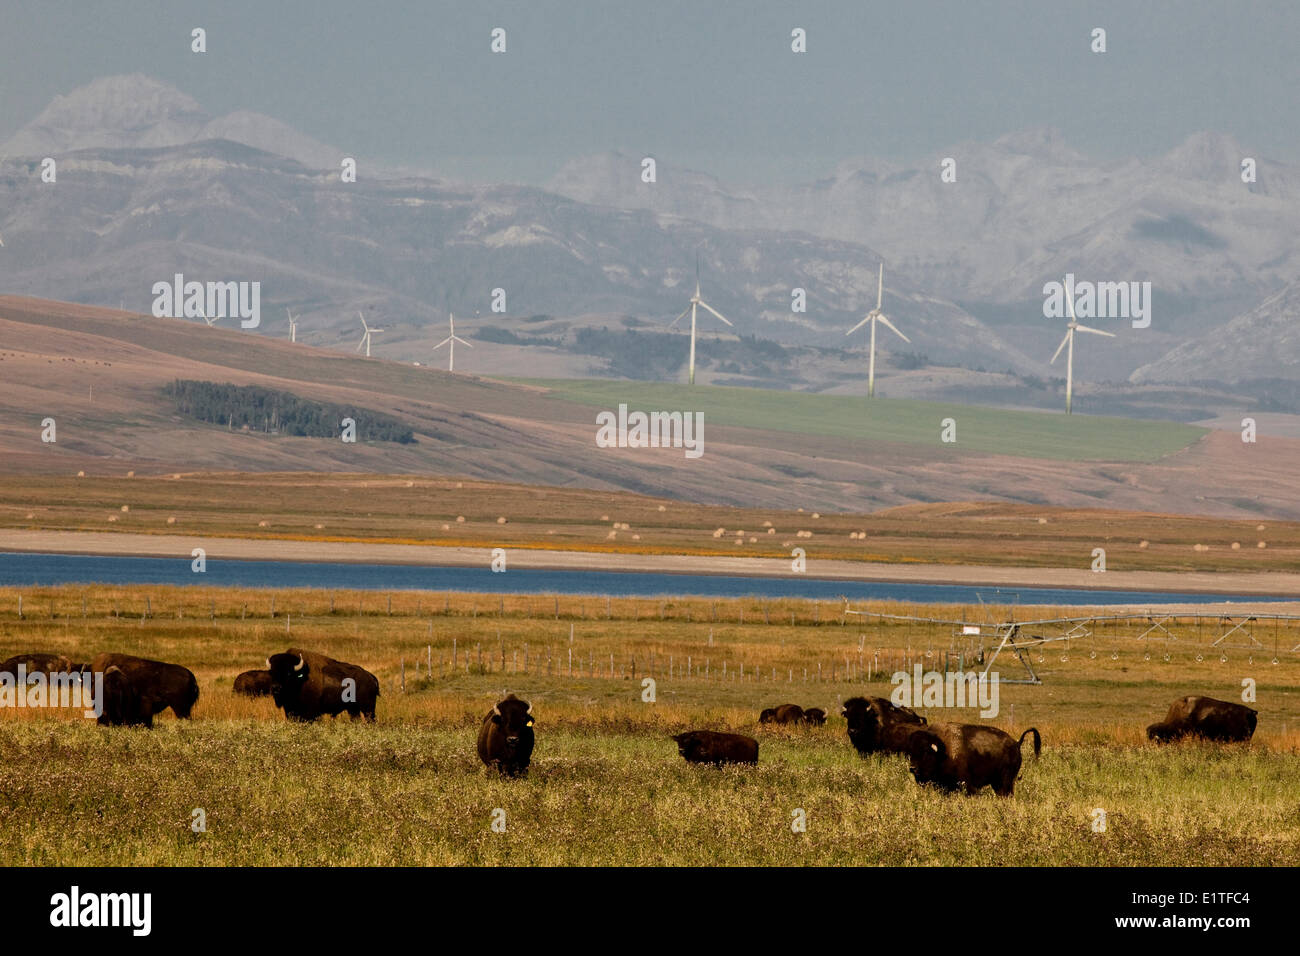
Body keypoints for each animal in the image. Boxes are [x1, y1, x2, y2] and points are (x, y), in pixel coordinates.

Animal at [905, 723, 1041, 797]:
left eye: (925, 751)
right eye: (910, 752)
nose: (912, 768)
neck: (943, 751)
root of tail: (1016, 743)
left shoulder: (967, 785)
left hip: (1005, 781)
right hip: (997, 782)